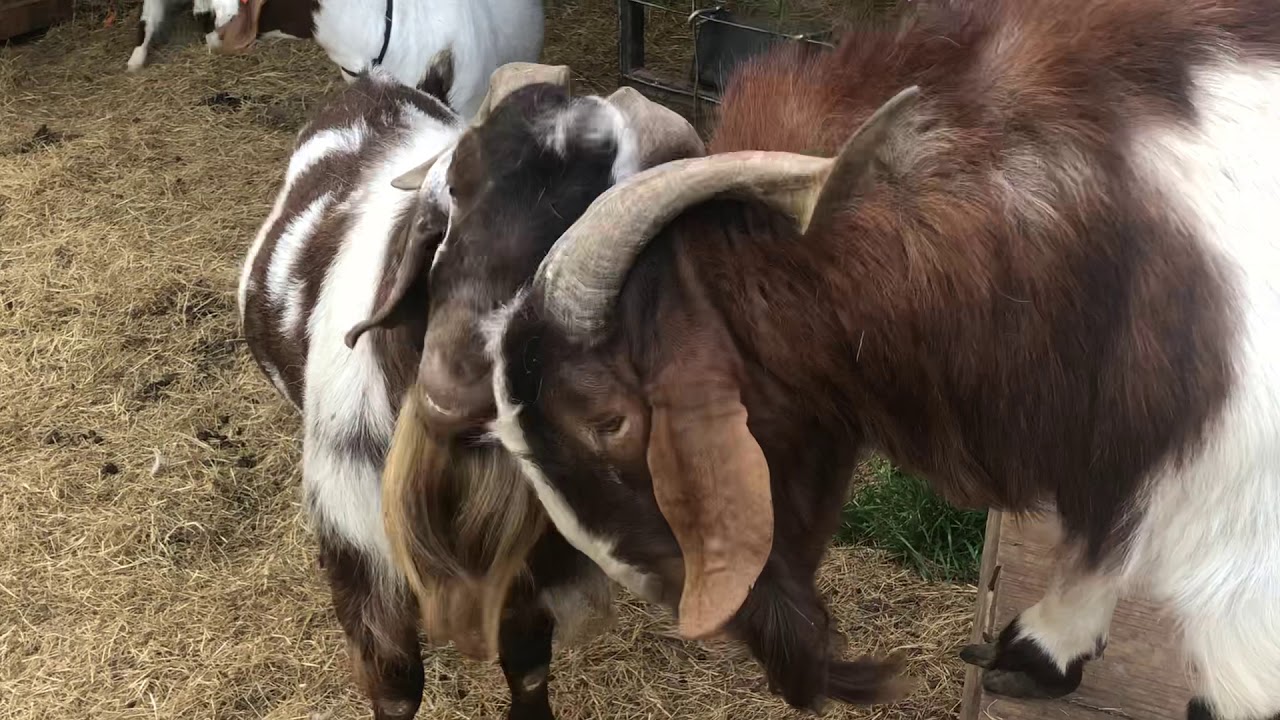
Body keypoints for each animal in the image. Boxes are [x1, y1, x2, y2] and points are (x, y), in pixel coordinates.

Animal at [237, 64, 611, 720]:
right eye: (451, 201)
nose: (456, 392)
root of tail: (376, 81)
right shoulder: (363, 568)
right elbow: (395, 688)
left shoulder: (526, 575)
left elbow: (529, 667)